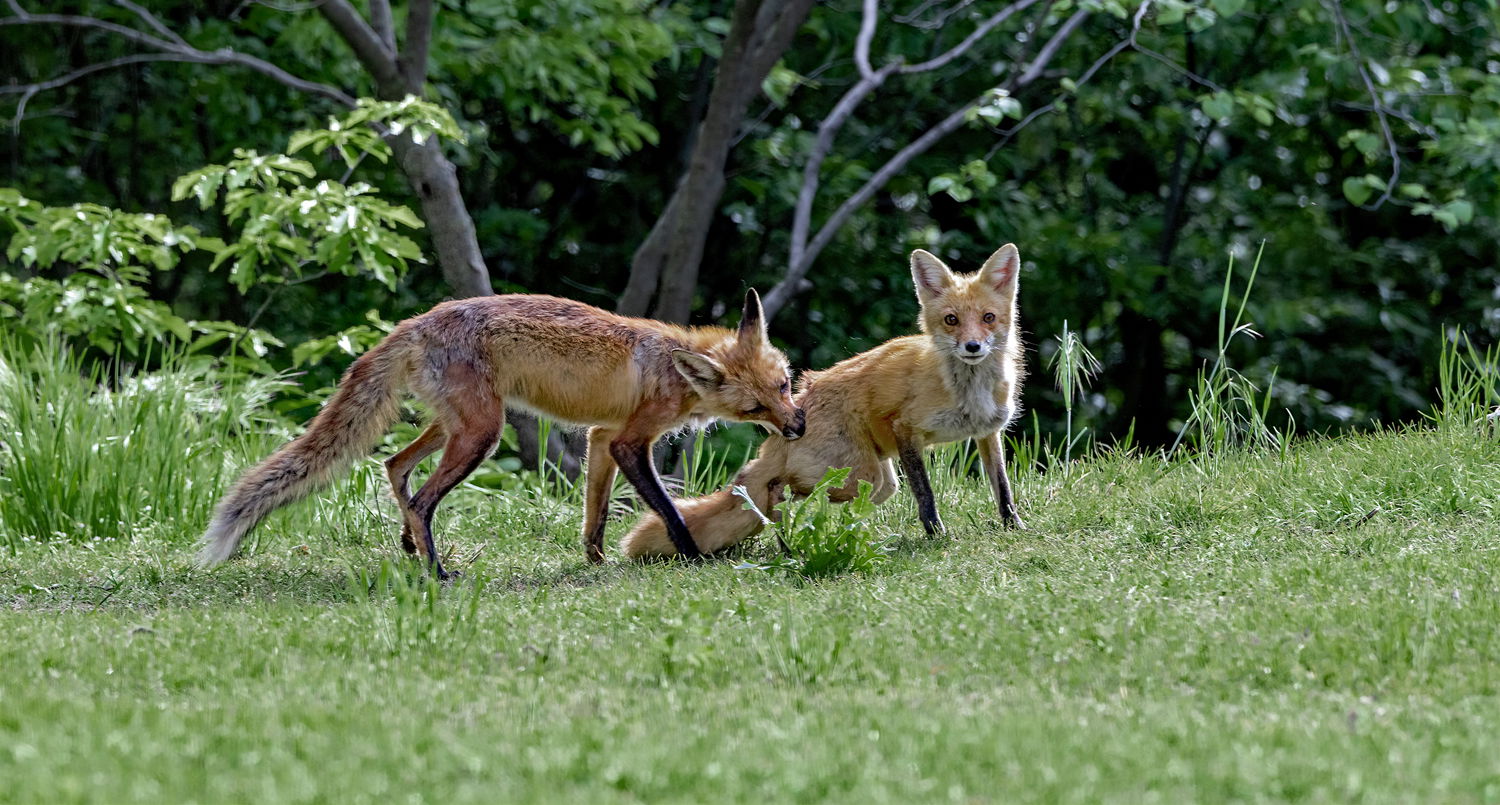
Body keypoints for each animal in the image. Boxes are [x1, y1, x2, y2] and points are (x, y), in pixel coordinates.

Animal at [198, 290, 805, 577]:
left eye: (785, 384)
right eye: (756, 407)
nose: (797, 425)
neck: (669, 367)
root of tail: (413, 322)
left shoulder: (601, 436)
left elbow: (595, 513)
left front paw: (595, 561)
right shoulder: (631, 440)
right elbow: (668, 511)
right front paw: (692, 557)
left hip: (454, 425)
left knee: (395, 467)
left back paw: (410, 547)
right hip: (482, 434)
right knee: (422, 498)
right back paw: (437, 572)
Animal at [621, 244, 1026, 559]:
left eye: (989, 318)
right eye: (951, 320)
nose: (972, 346)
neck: (967, 392)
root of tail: (788, 423)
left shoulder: (988, 431)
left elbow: (1002, 486)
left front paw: (1013, 525)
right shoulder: (905, 428)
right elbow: (926, 494)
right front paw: (936, 534)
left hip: (877, 483)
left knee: (782, 496)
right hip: (864, 474)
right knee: (778, 494)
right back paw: (788, 540)